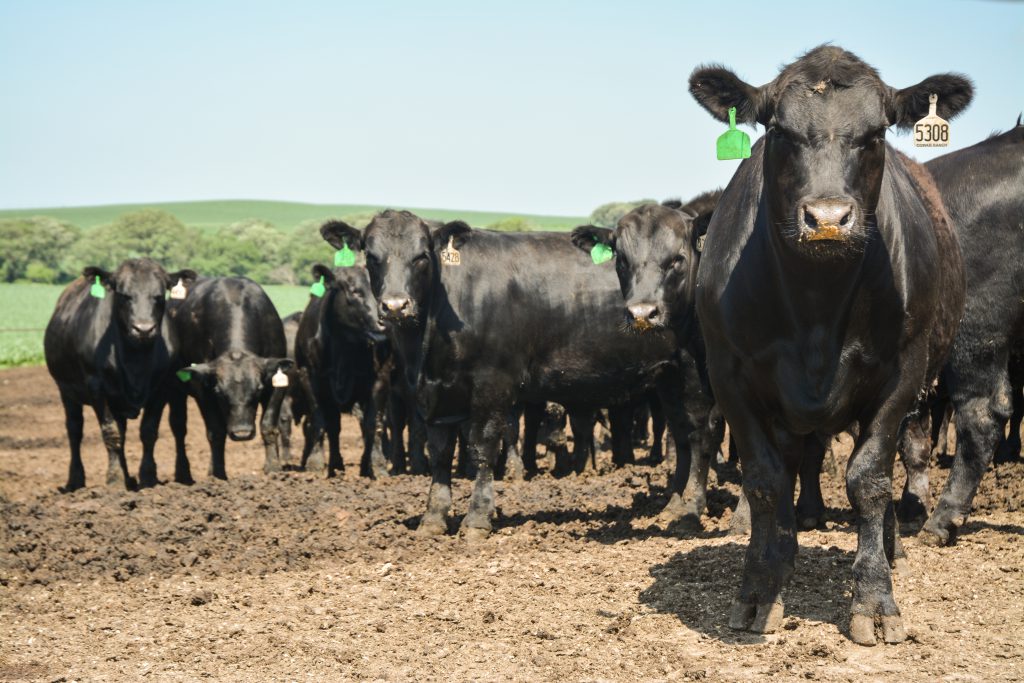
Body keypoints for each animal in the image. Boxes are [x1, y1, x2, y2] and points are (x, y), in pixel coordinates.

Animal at [44, 259, 196, 491]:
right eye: (124, 295)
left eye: (159, 295)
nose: (143, 329)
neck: (136, 360)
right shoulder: (97, 387)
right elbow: (111, 433)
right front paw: (114, 480)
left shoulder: (162, 387)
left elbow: (148, 431)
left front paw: (148, 477)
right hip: (66, 390)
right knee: (74, 430)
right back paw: (76, 480)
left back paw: (130, 479)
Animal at [166, 277, 292, 481]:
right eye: (219, 391)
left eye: (258, 388)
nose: (242, 433)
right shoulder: (202, 388)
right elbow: (216, 431)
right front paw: (219, 475)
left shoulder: (276, 384)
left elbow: (268, 425)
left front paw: (273, 468)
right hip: (174, 388)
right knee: (179, 428)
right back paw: (183, 474)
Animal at [293, 262, 391, 479]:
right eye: (355, 291)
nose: (384, 320)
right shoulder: (307, 376)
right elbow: (321, 421)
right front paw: (317, 463)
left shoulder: (380, 379)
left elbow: (374, 423)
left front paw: (377, 465)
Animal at [321, 209, 717, 541]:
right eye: (372, 257)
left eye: (421, 256)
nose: (394, 306)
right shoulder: (434, 395)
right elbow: (440, 453)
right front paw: (433, 518)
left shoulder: (492, 384)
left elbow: (482, 447)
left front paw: (476, 519)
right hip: (667, 378)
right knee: (681, 434)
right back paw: (673, 505)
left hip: (693, 371)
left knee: (700, 433)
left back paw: (693, 507)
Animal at [687, 45, 970, 644]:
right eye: (779, 130)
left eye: (875, 133)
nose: (827, 219)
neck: (815, 301)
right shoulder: (730, 377)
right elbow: (765, 481)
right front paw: (759, 589)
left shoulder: (901, 375)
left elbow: (869, 478)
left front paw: (876, 599)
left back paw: (889, 547)